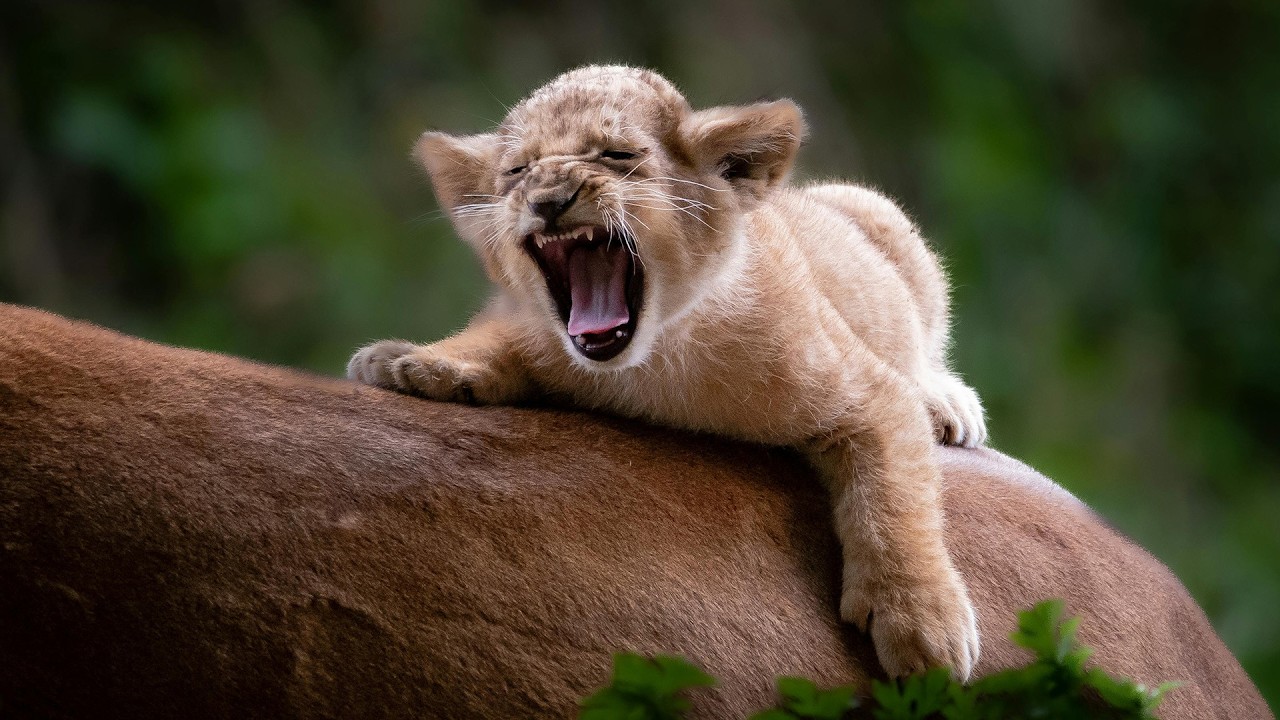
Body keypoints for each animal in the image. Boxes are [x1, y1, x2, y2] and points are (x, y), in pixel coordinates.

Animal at [348, 65, 988, 679]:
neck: (652, 363)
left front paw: (922, 623)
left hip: (877, 212)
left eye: (615, 155)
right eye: (518, 170)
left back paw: (948, 403)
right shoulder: (527, 324)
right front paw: (410, 360)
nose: (548, 199)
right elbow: (491, 337)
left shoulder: (867, 392)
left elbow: (893, 498)